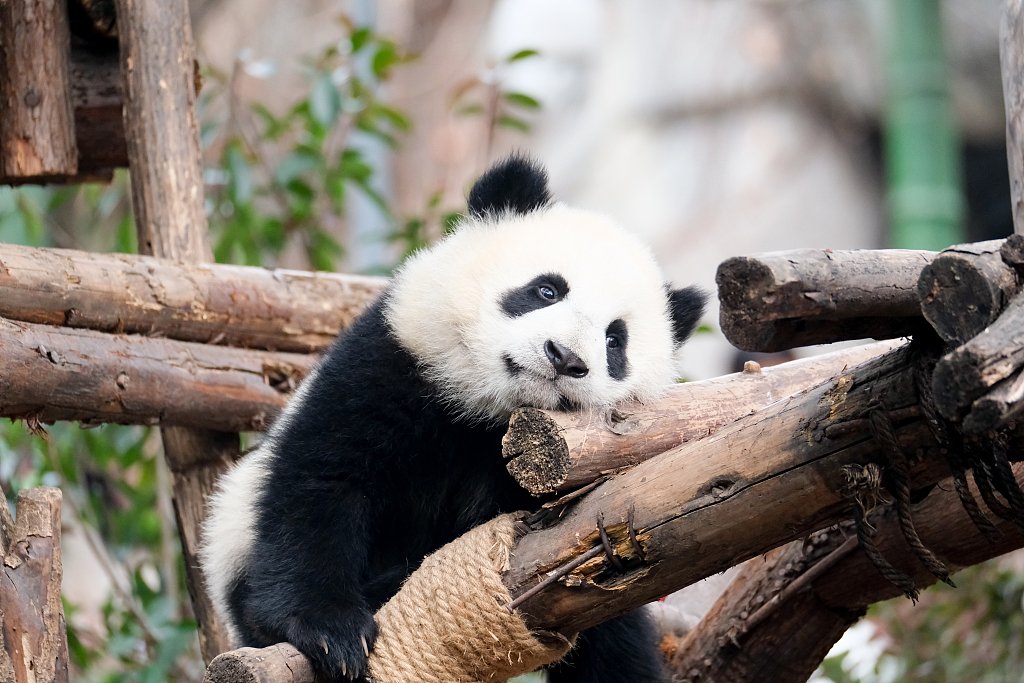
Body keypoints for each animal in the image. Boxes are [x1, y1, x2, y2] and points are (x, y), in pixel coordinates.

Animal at [199, 155, 706, 682]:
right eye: (546, 290)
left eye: (614, 340)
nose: (564, 357)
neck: (487, 412)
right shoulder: (391, 364)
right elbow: (322, 482)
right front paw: (331, 631)